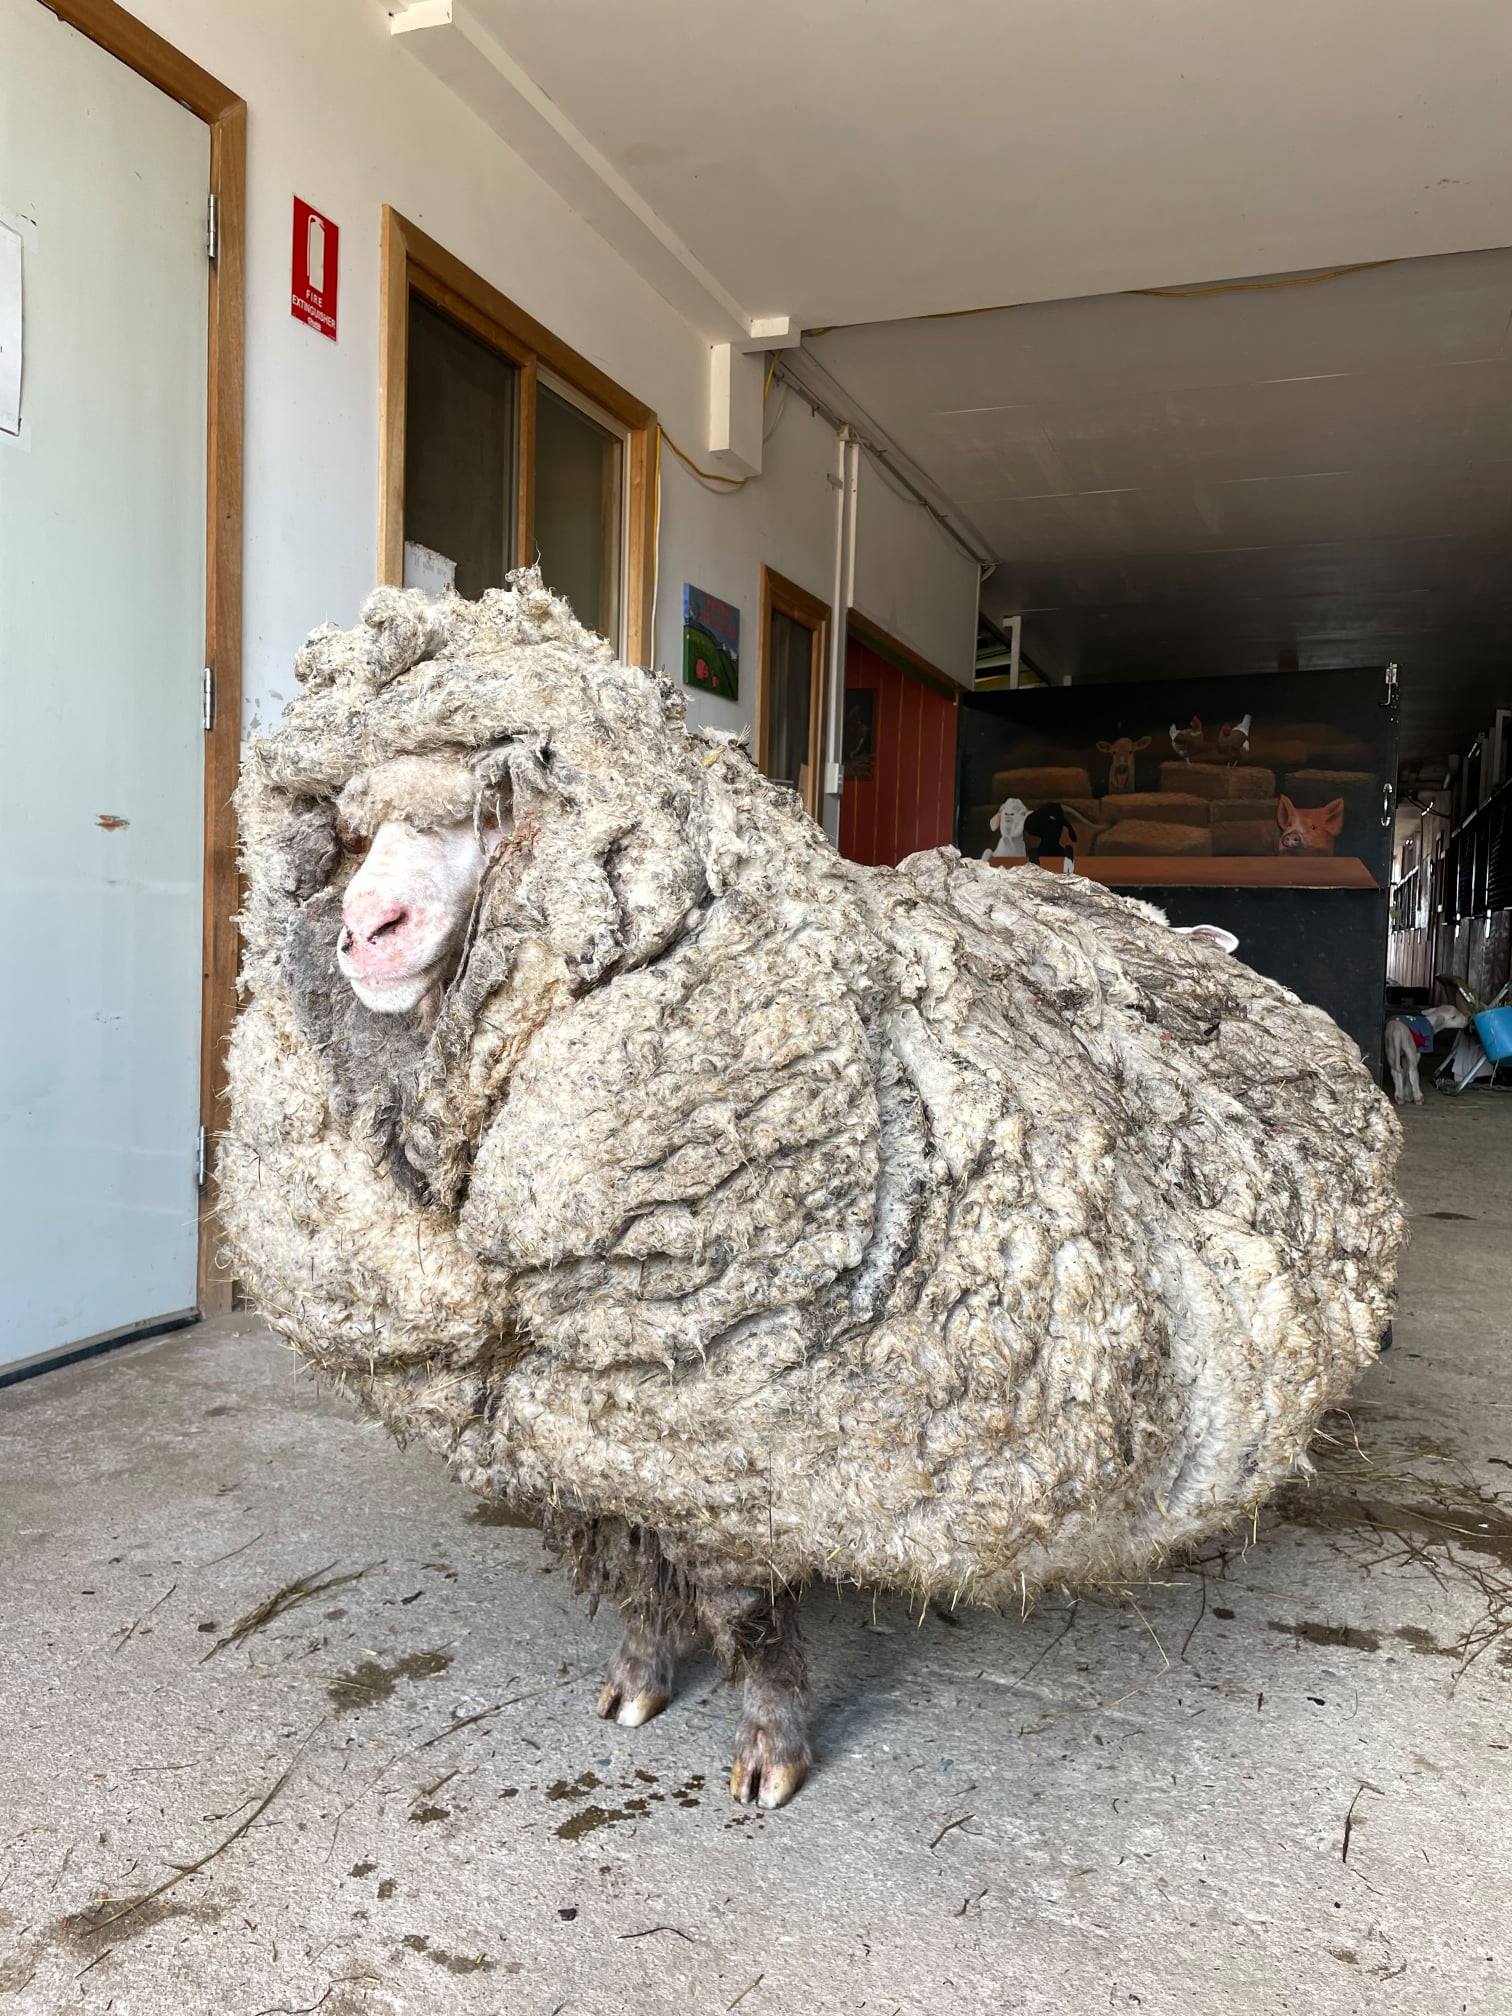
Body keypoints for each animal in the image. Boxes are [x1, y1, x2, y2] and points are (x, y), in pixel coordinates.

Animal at [220, 573, 1405, 1808]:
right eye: (356, 835)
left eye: (495, 814)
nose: (367, 930)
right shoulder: (593, 1425)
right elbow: (637, 1570)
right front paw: (638, 1682)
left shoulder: (731, 1429)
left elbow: (746, 1607)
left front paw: (770, 1748)